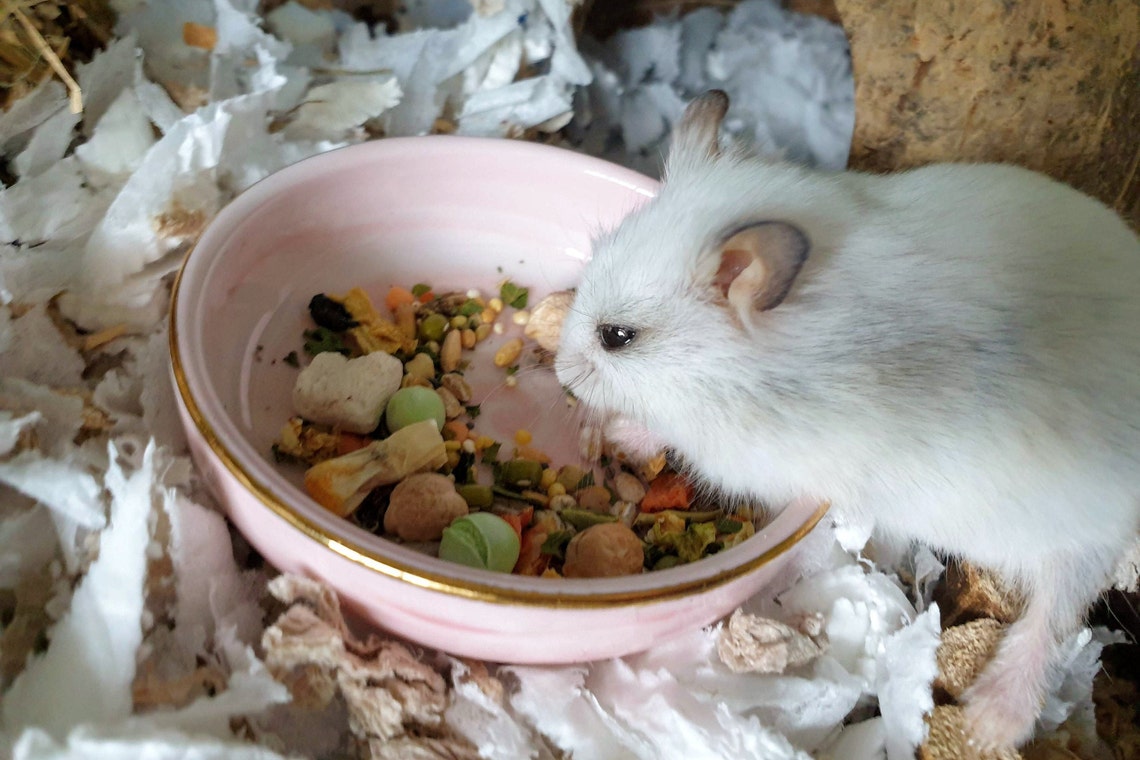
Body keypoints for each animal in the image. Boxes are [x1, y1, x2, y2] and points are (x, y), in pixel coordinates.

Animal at [554, 90, 1140, 749]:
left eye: (617, 337)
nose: (558, 373)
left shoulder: (748, 460)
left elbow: (673, 438)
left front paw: (616, 430)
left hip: (1071, 531)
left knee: (1058, 612)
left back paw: (990, 722)